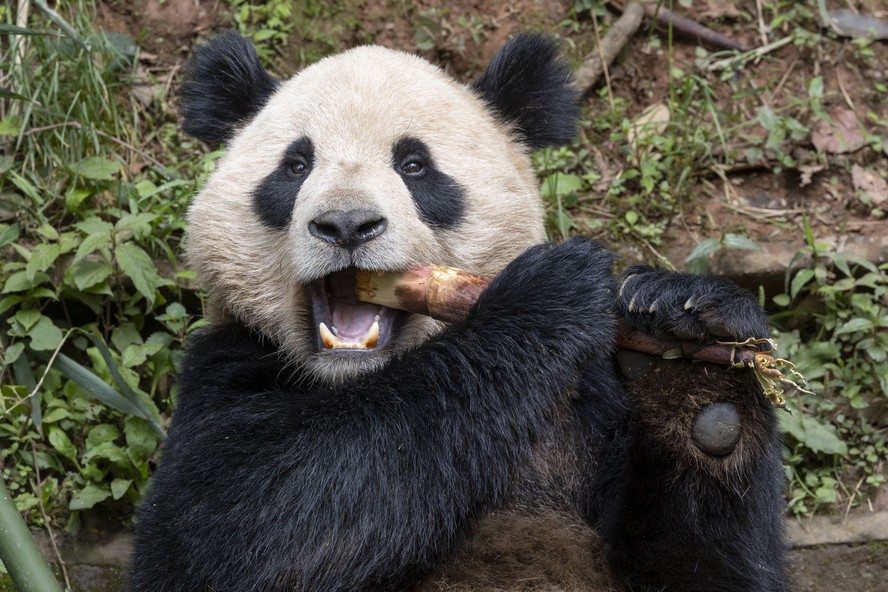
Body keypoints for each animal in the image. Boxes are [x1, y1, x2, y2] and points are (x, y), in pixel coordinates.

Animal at [127, 31, 788, 592]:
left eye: (414, 165)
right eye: (295, 165)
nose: (345, 225)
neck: (357, 381)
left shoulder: (586, 408)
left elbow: (707, 571)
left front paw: (691, 349)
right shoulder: (226, 366)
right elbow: (245, 530)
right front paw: (545, 295)